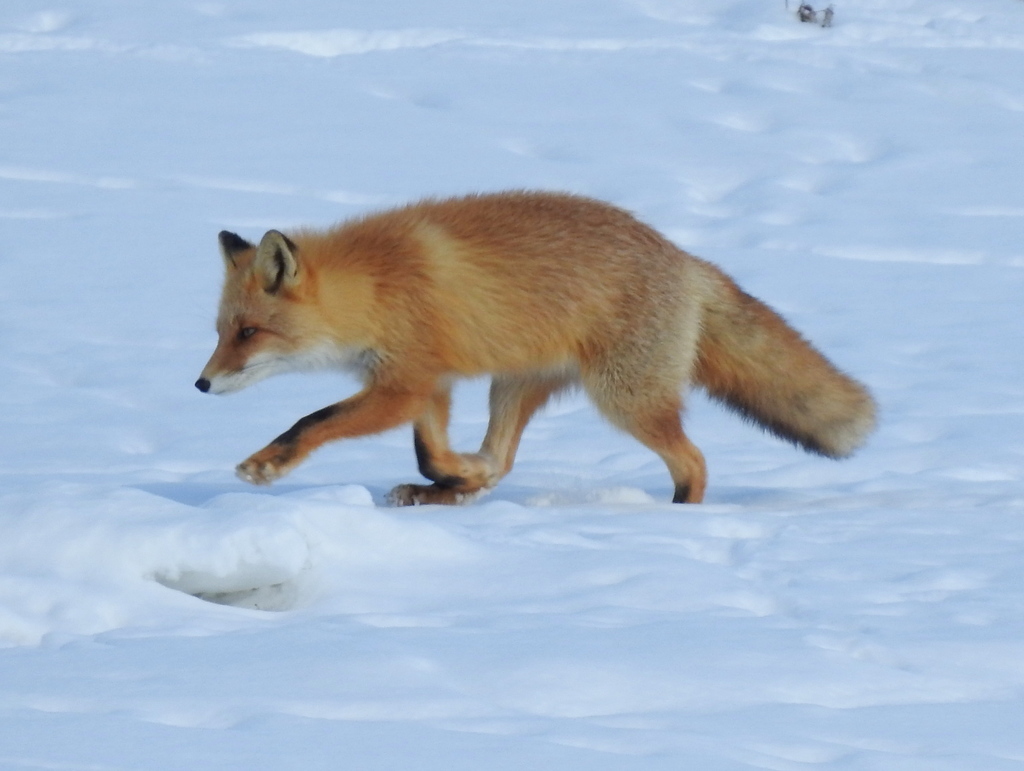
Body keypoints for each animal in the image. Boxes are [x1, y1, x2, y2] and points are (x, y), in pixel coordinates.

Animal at [196, 191, 875, 505]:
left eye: (249, 333)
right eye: (221, 331)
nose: (200, 384)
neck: (375, 287)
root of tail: (685, 258)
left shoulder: (403, 384)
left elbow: (312, 421)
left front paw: (266, 465)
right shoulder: (430, 382)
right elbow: (429, 452)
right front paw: (451, 477)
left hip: (624, 399)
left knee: (694, 461)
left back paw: (676, 521)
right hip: (514, 384)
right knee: (501, 460)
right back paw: (455, 488)